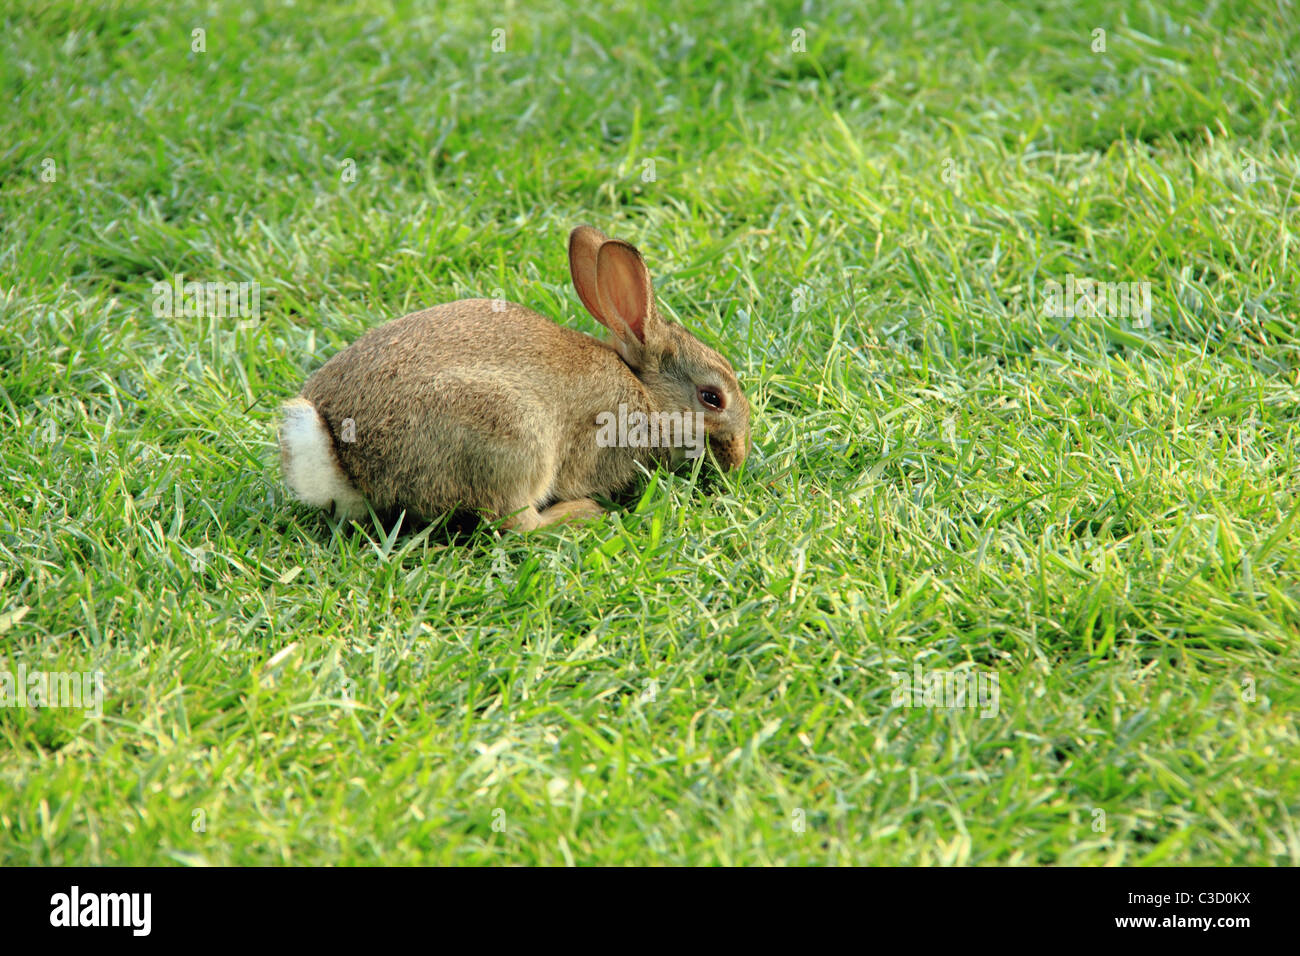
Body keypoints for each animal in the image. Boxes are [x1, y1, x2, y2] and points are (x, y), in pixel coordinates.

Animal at [278, 225, 751, 531]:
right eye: (712, 398)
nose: (739, 457)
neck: (647, 395)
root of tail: (342, 454)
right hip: (516, 436)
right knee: (514, 522)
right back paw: (582, 514)